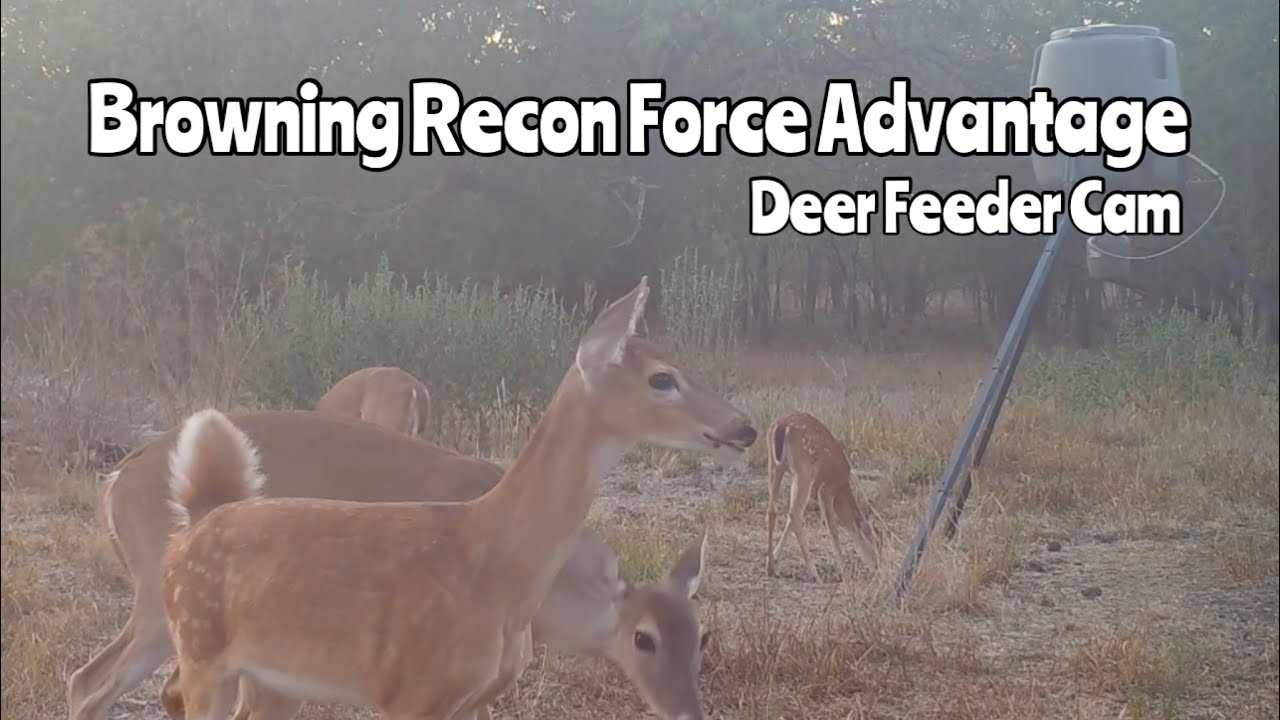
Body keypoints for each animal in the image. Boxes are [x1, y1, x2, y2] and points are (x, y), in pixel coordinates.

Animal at [157, 277, 756, 720]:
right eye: (662, 379)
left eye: (704, 639)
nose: (745, 427)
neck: (491, 562)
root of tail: (196, 520)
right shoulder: (412, 689)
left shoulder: (470, 695)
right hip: (201, 648)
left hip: (270, 675)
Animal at [764, 411, 880, 584]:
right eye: (877, 543)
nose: (878, 566)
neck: (842, 487)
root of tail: (781, 426)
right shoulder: (826, 488)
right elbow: (833, 529)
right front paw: (845, 574)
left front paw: (774, 557)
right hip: (804, 469)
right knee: (795, 514)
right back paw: (814, 573)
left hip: (775, 465)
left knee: (773, 511)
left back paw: (770, 567)